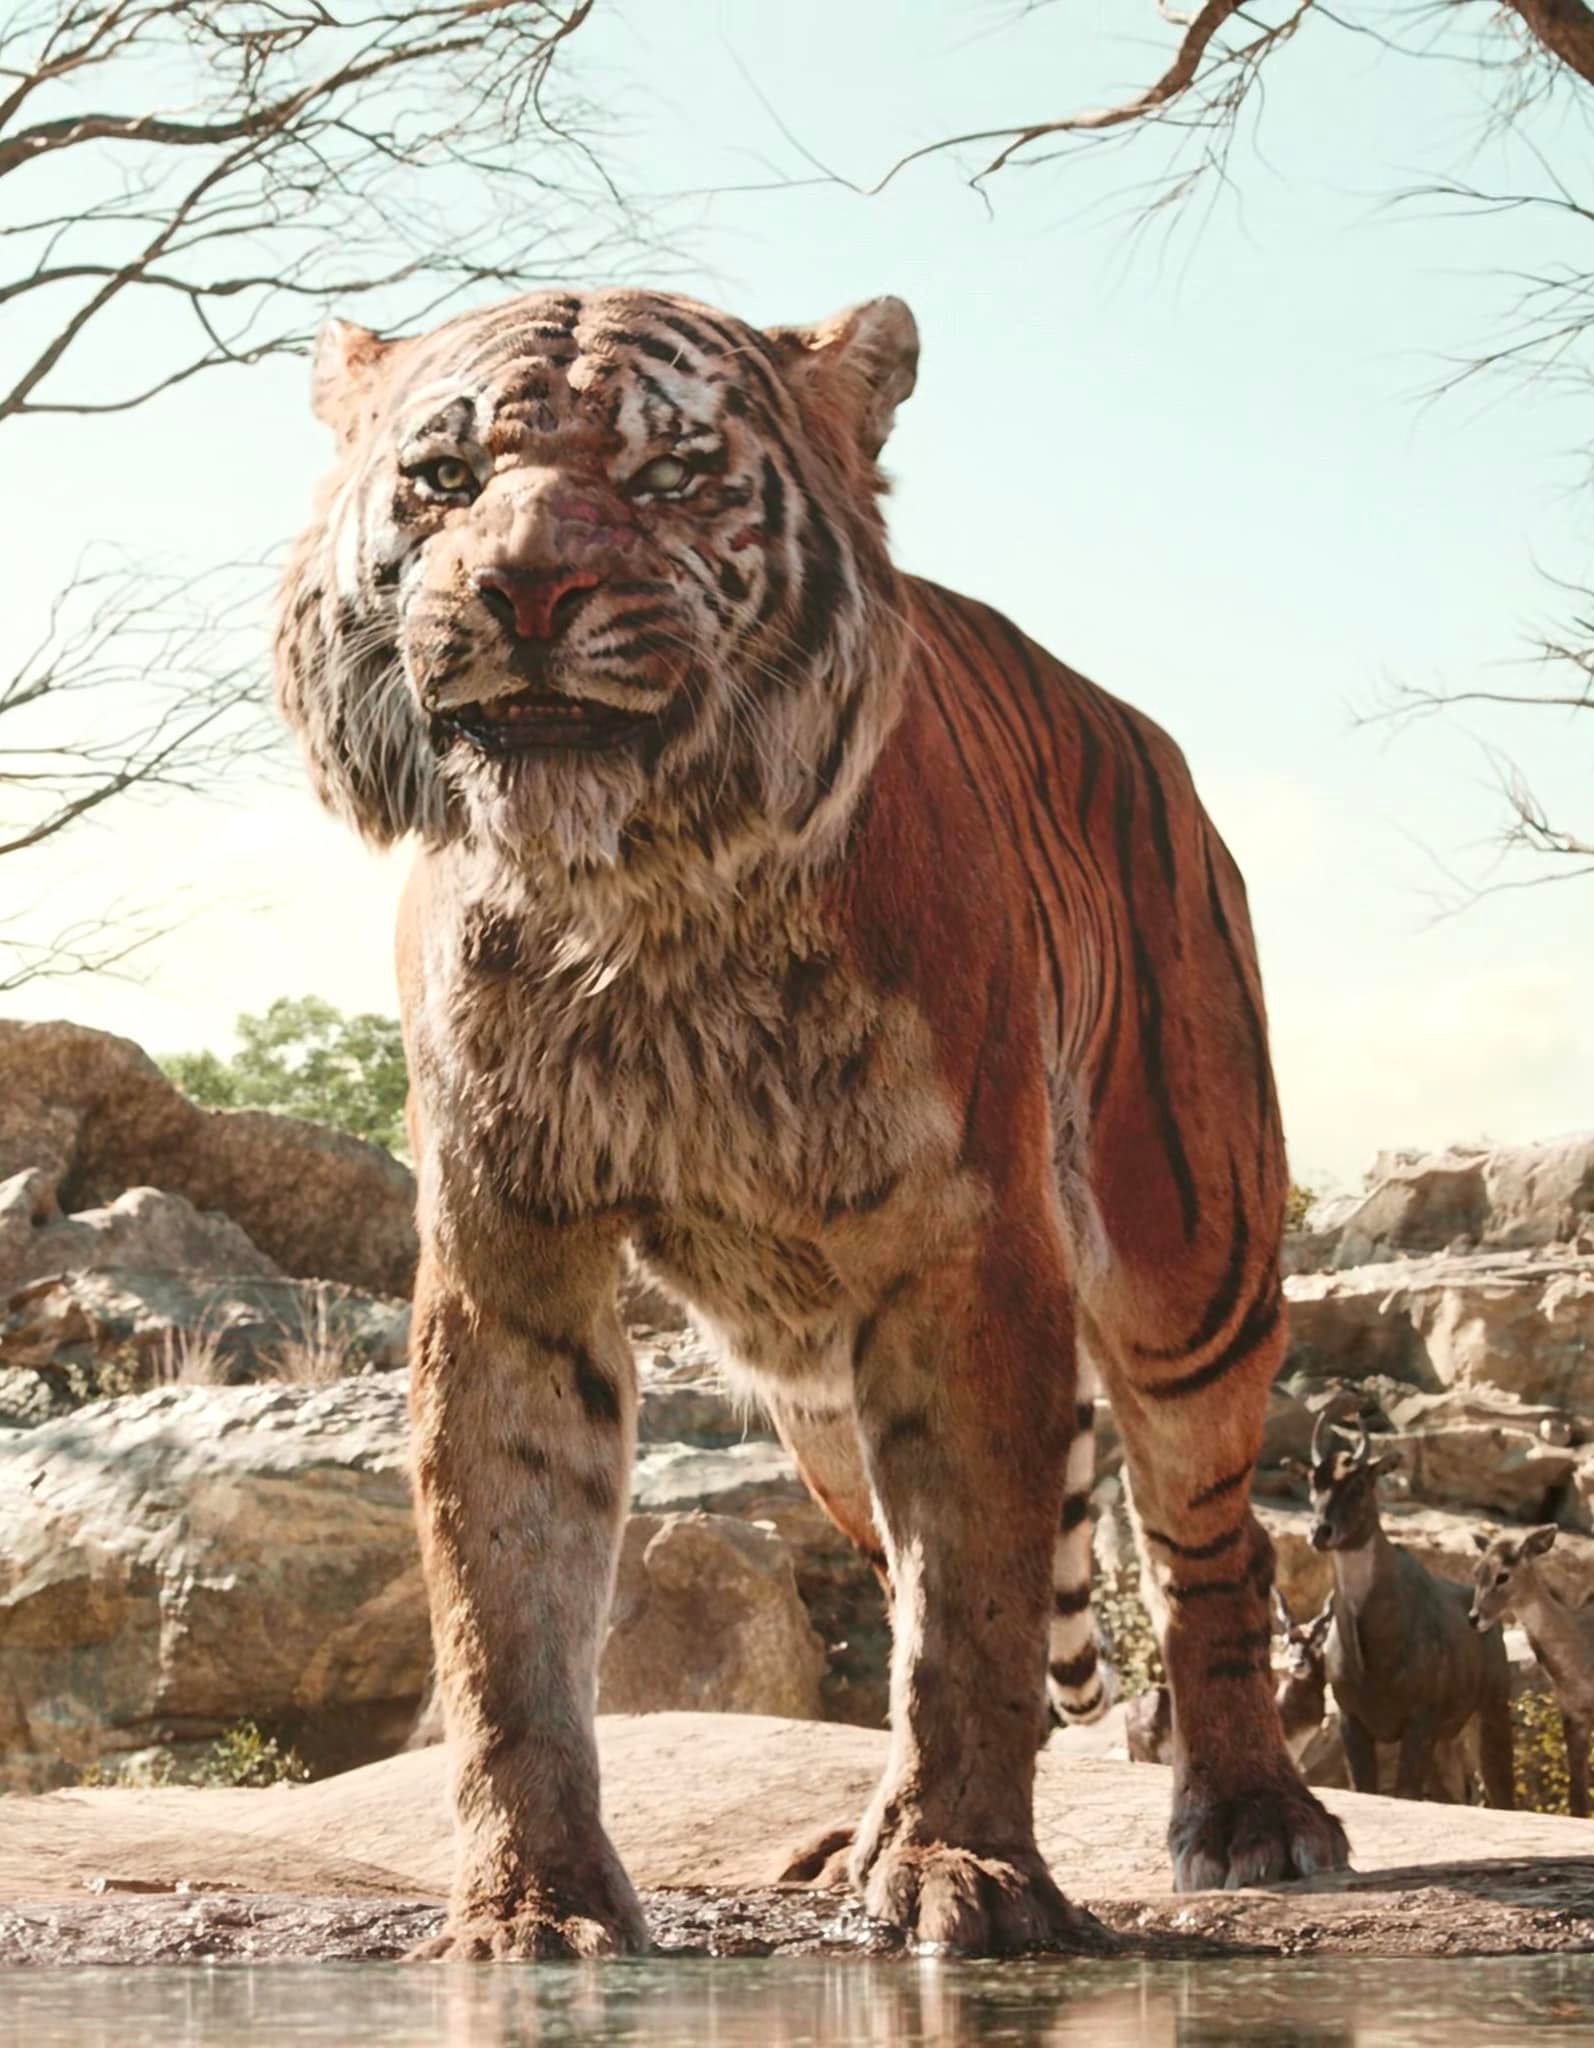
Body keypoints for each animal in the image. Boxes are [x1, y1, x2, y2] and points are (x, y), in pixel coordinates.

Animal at [274, 285, 1349, 1959]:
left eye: (667, 479)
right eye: (444, 482)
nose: (524, 589)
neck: (641, 895)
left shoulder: (969, 1258)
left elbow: (973, 1609)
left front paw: (965, 1869)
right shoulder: (511, 1262)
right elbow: (506, 1610)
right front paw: (531, 1903)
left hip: (1193, 1274)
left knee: (1208, 1551)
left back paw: (1248, 1816)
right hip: (821, 1410)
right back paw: (855, 1840)